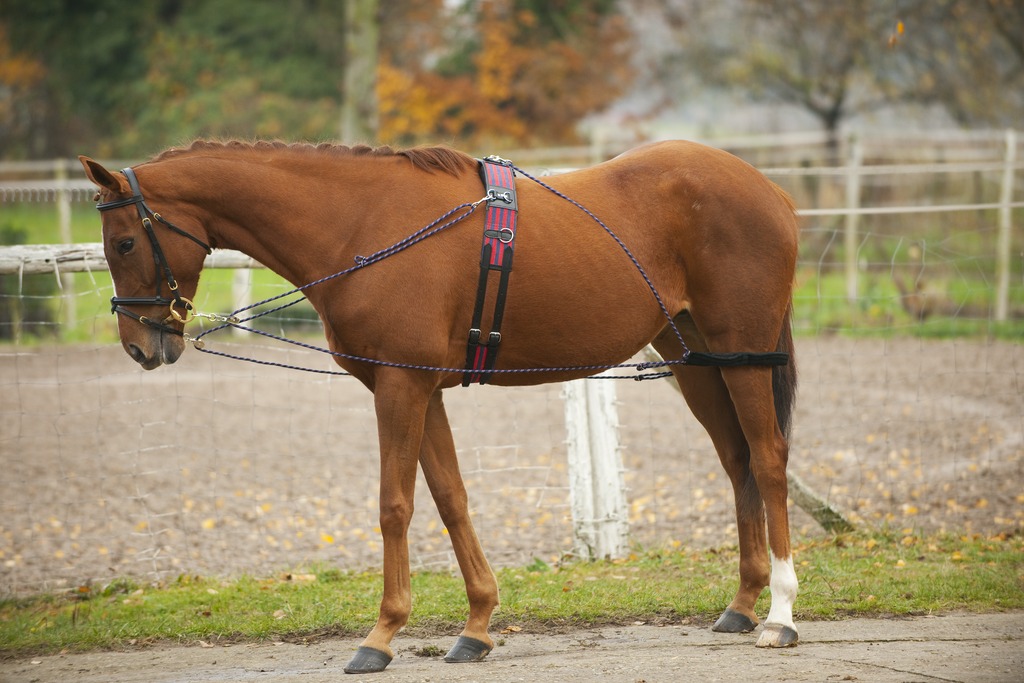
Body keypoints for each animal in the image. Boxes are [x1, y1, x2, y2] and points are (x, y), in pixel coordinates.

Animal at [79, 139, 798, 671]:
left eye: (124, 242)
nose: (140, 345)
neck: (362, 222)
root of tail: (769, 190)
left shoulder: (401, 386)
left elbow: (394, 505)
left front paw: (380, 635)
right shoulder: (418, 388)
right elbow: (452, 497)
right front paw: (476, 624)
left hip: (744, 355)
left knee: (767, 460)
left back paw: (781, 615)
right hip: (697, 361)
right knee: (738, 462)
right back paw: (742, 603)